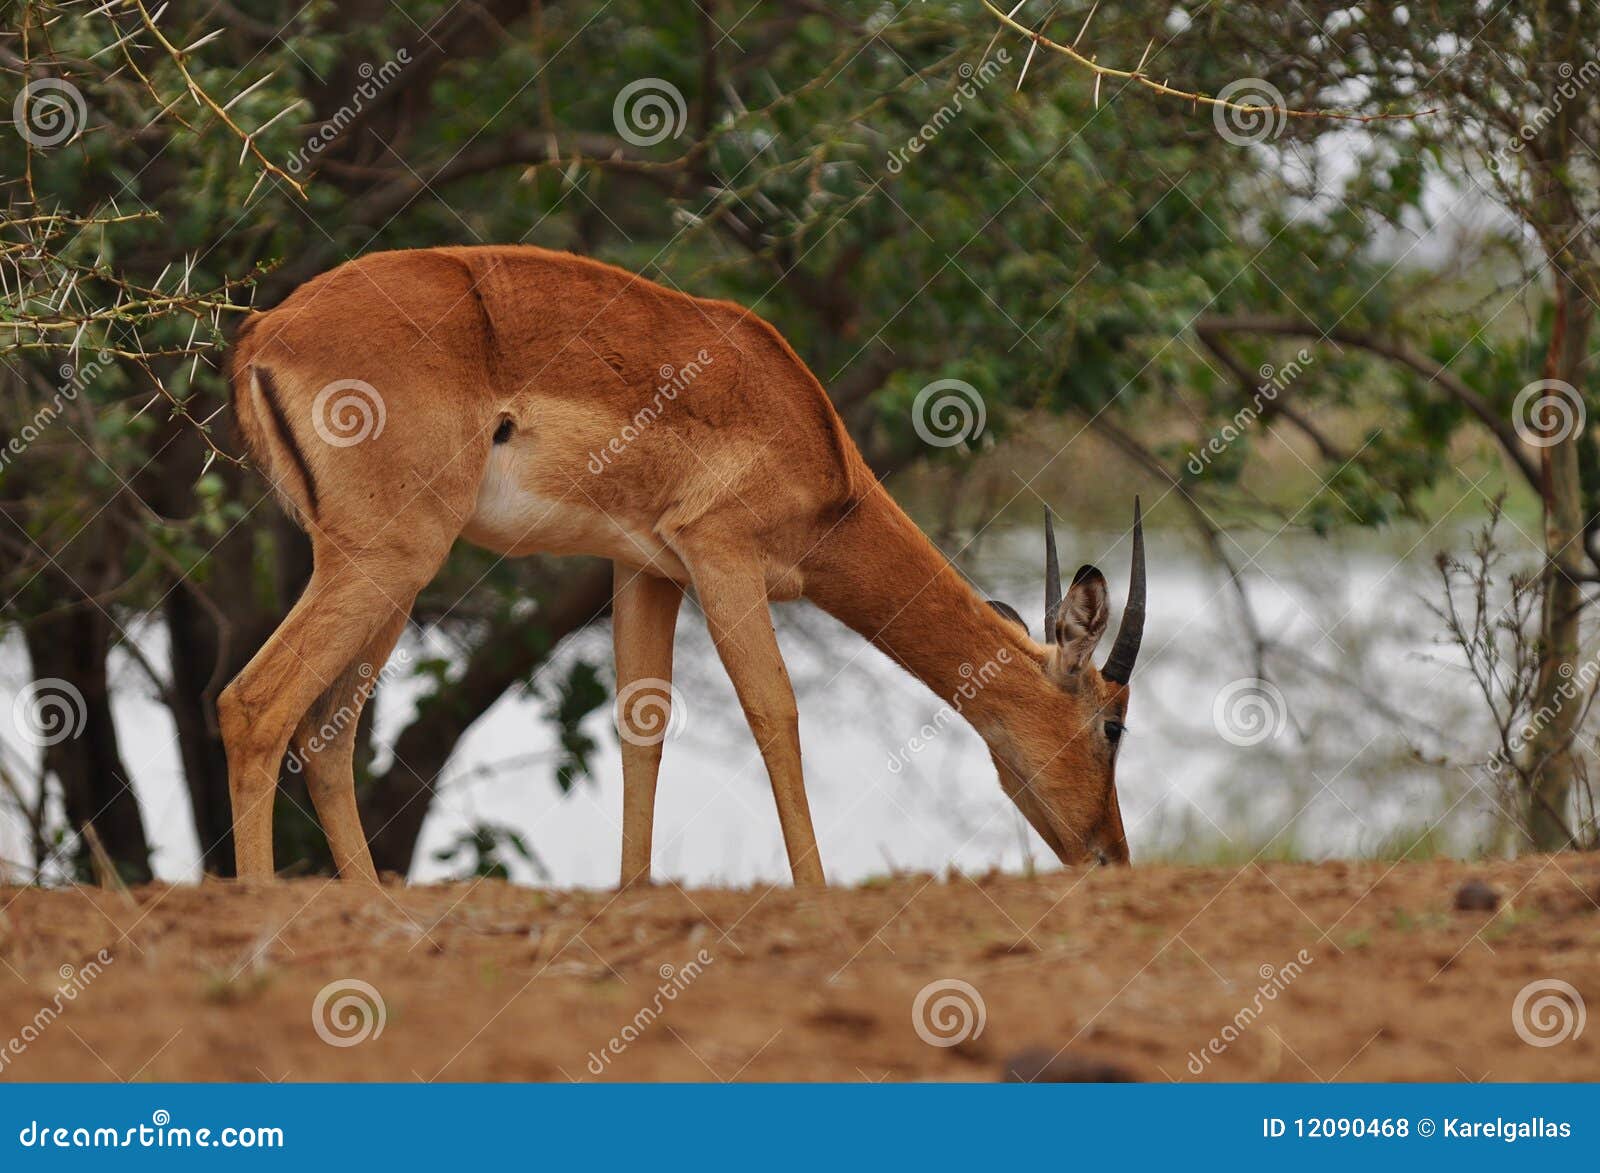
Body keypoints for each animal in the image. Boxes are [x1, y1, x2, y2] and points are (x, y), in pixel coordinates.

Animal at [223, 245, 1145, 887]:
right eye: (1112, 724)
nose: (1110, 855)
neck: (827, 465)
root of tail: (262, 332)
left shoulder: (648, 570)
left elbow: (644, 722)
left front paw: (633, 893)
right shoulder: (721, 555)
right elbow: (775, 711)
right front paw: (815, 890)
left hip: (390, 574)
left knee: (326, 732)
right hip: (390, 556)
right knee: (254, 704)